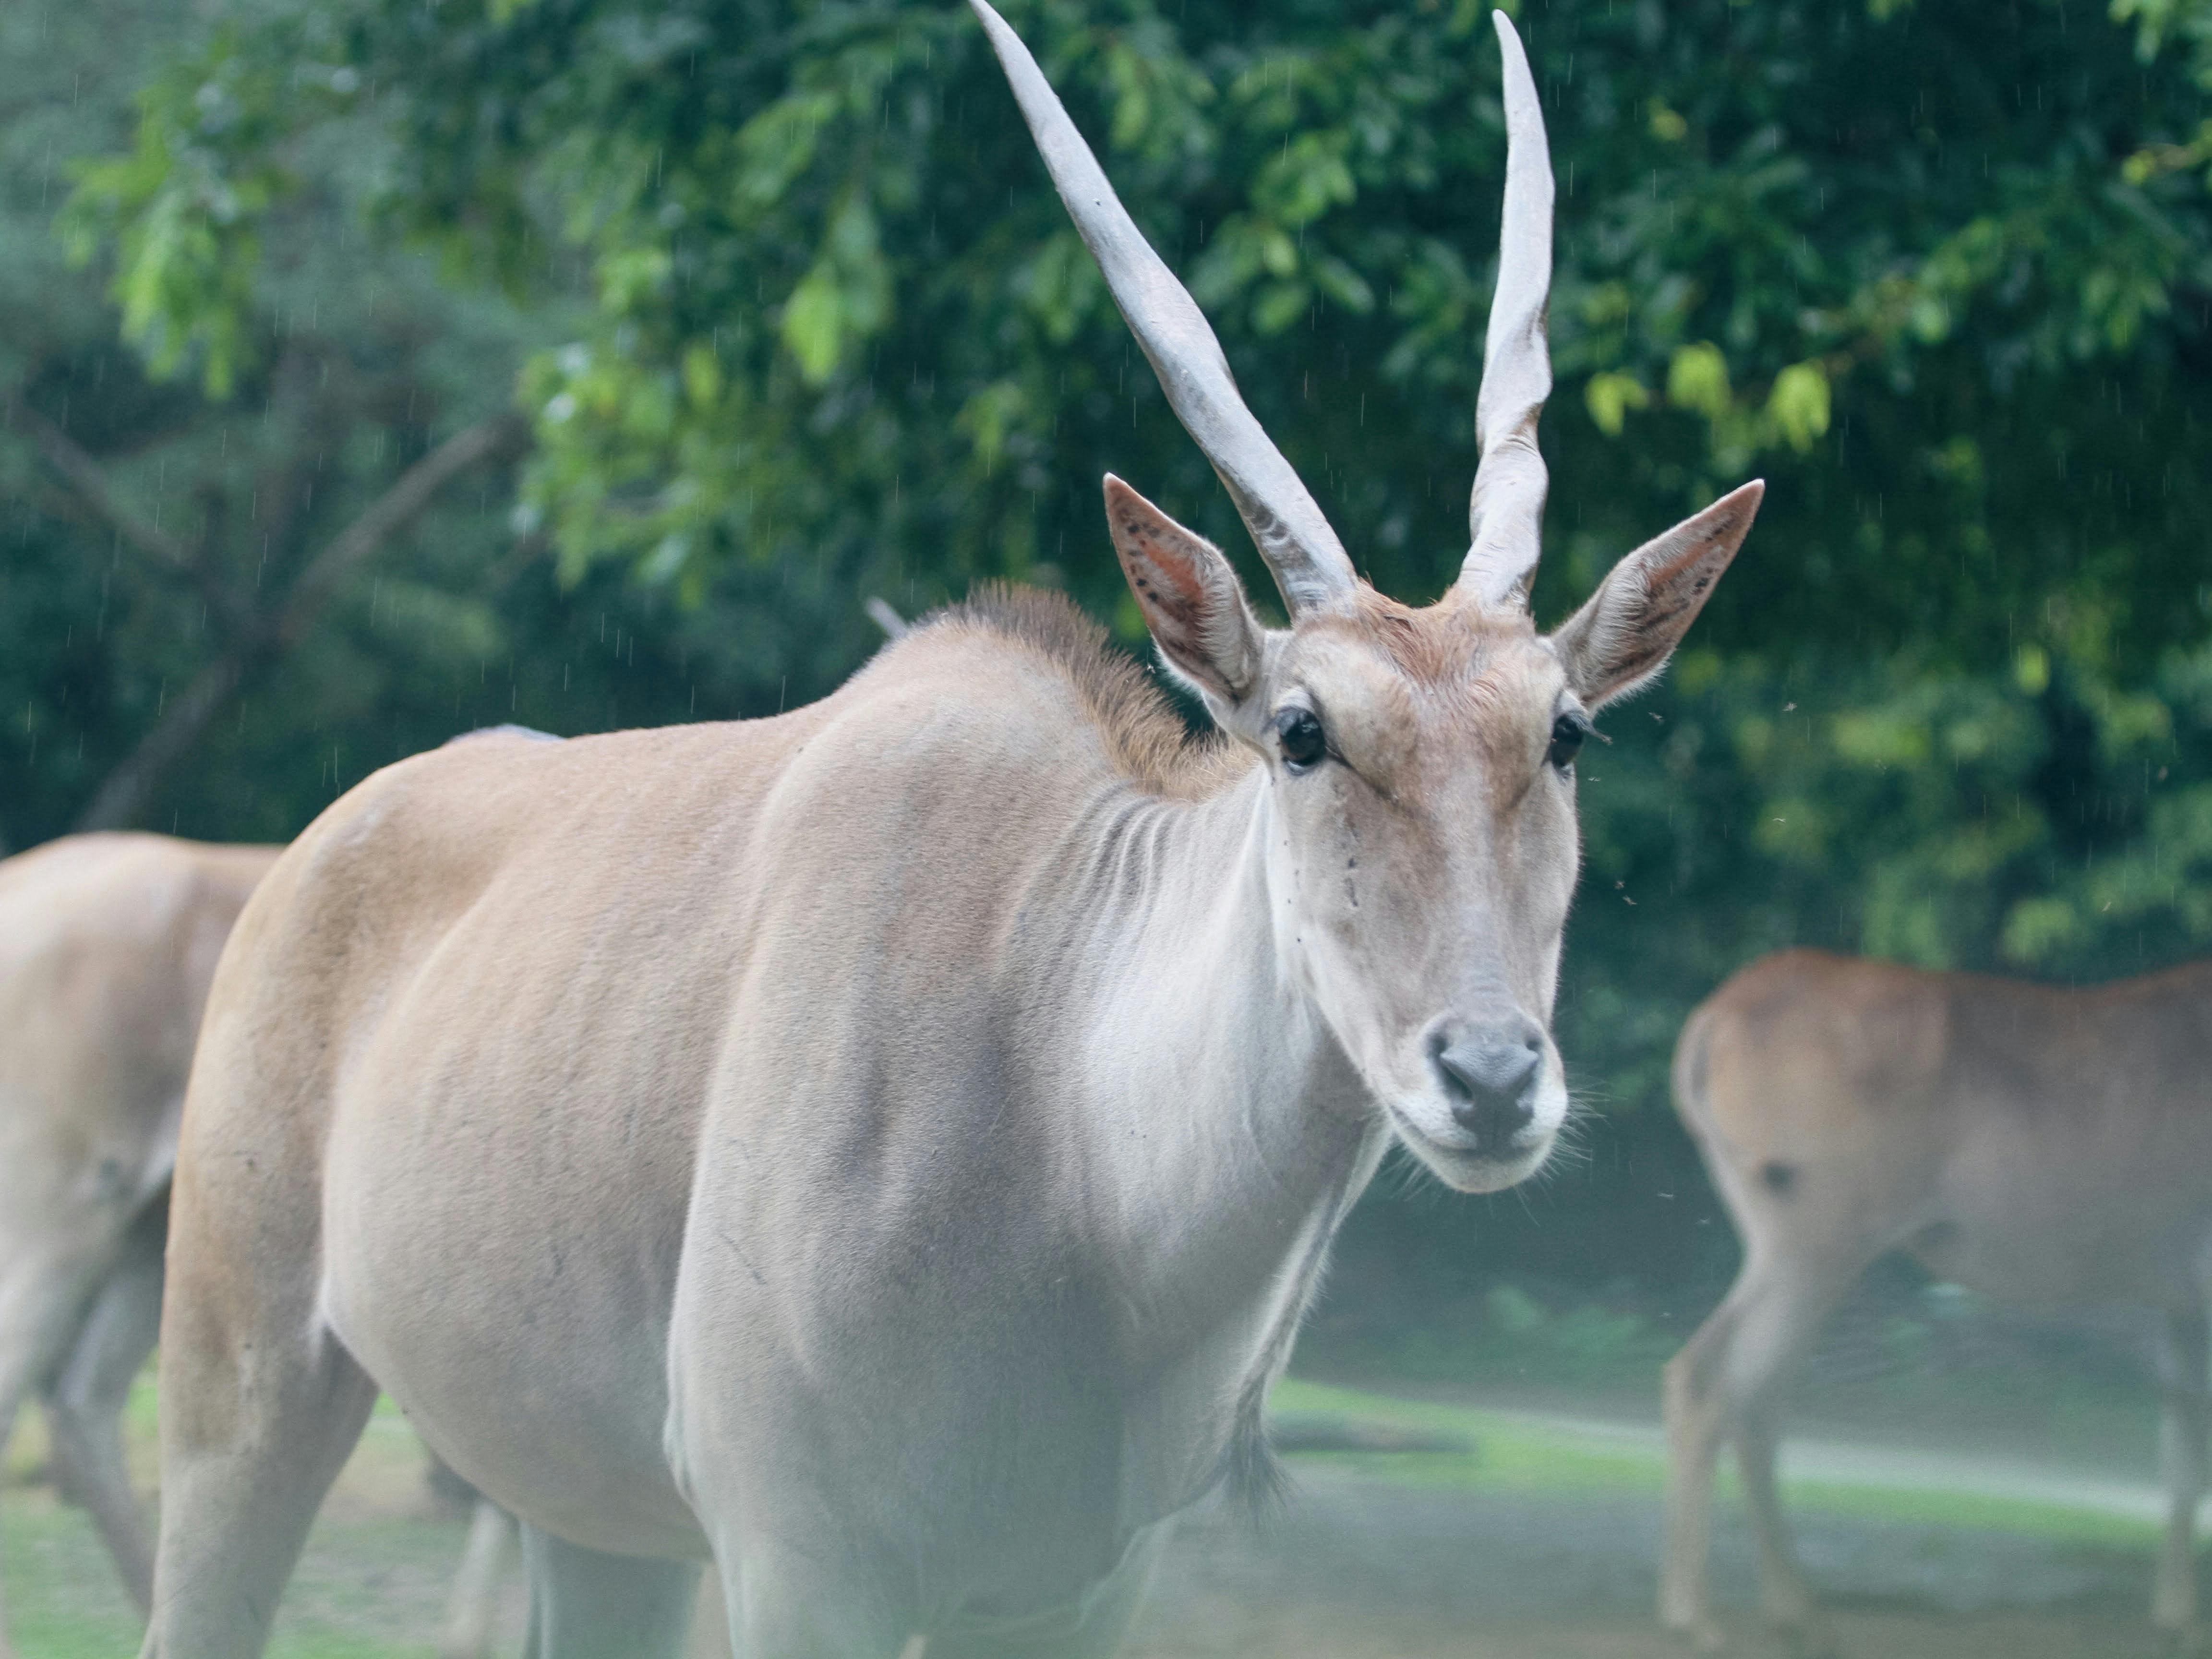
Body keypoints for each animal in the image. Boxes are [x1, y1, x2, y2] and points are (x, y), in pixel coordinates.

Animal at [141, 8, 1761, 1656]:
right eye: (1305, 731)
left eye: (1563, 732)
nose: (1491, 1080)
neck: (1073, 1146)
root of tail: (320, 847)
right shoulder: (801, 1562)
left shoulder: (1083, 1586)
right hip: (241, 1383)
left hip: (601, 1529)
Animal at [1661, 948, 2212, 1654]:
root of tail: (1720, 1013)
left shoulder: (2183, 1307)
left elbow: (2180, 1457)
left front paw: (2178, 1616)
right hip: (1812, 1247)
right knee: (1720, 1386)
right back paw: (1701, 1615)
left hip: (1793, 1254)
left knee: (1743, 1393)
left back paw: (1792, 1611)